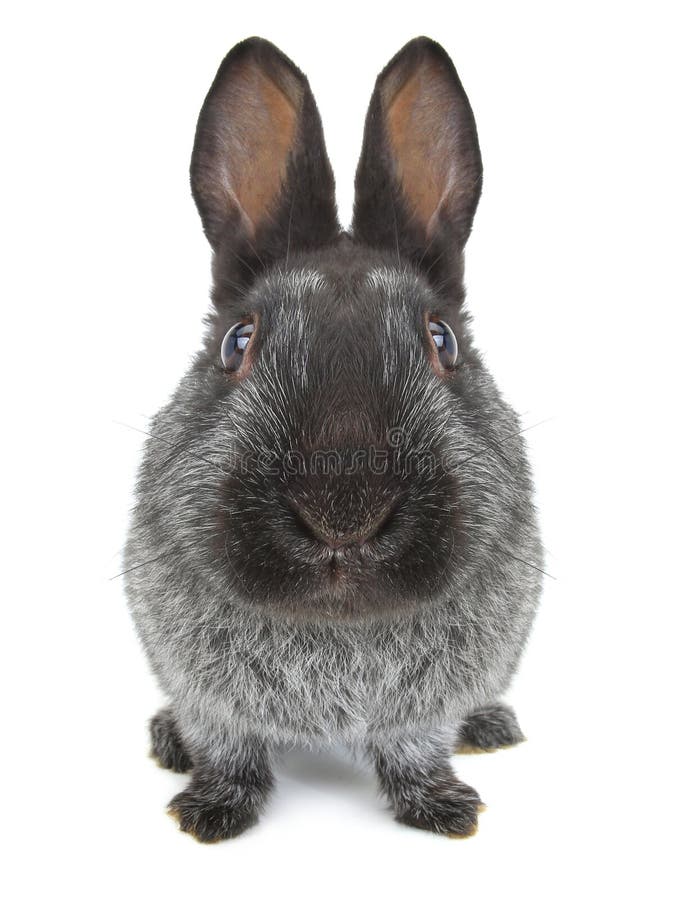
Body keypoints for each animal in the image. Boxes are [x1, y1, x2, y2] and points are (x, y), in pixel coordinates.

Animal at [124, 35, 542, 842]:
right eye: (237, 342)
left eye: (443, 341)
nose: (342, 516)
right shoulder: (204, 693)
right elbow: (228, 749)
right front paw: (209, 813)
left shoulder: (424, 710)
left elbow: (415, 749)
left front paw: (446, 809)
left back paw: (491, 726)